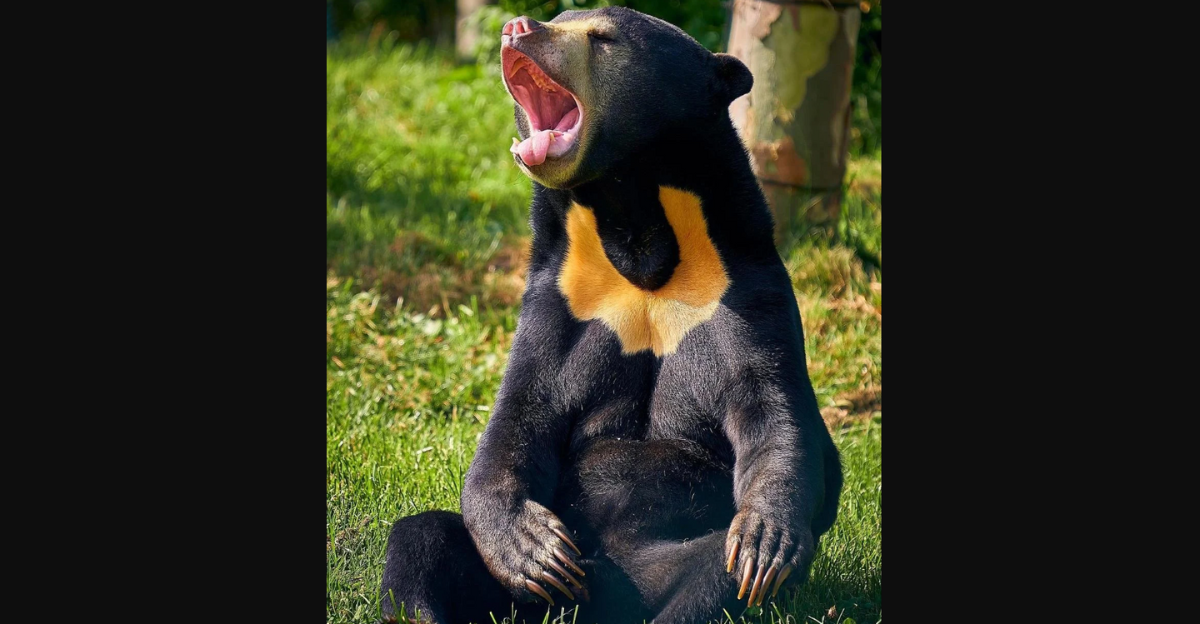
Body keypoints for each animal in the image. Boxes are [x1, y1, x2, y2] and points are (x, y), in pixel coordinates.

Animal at [379, 7, 843, 624]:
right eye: (558, 18)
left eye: (603, 38)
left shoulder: (745, 290)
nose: (517, 26)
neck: (636, 229)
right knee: (421, 539)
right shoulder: (559, 302)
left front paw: (765, 540)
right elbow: (517, 416)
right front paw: (533, 548)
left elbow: (774, 411)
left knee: (714, 578)